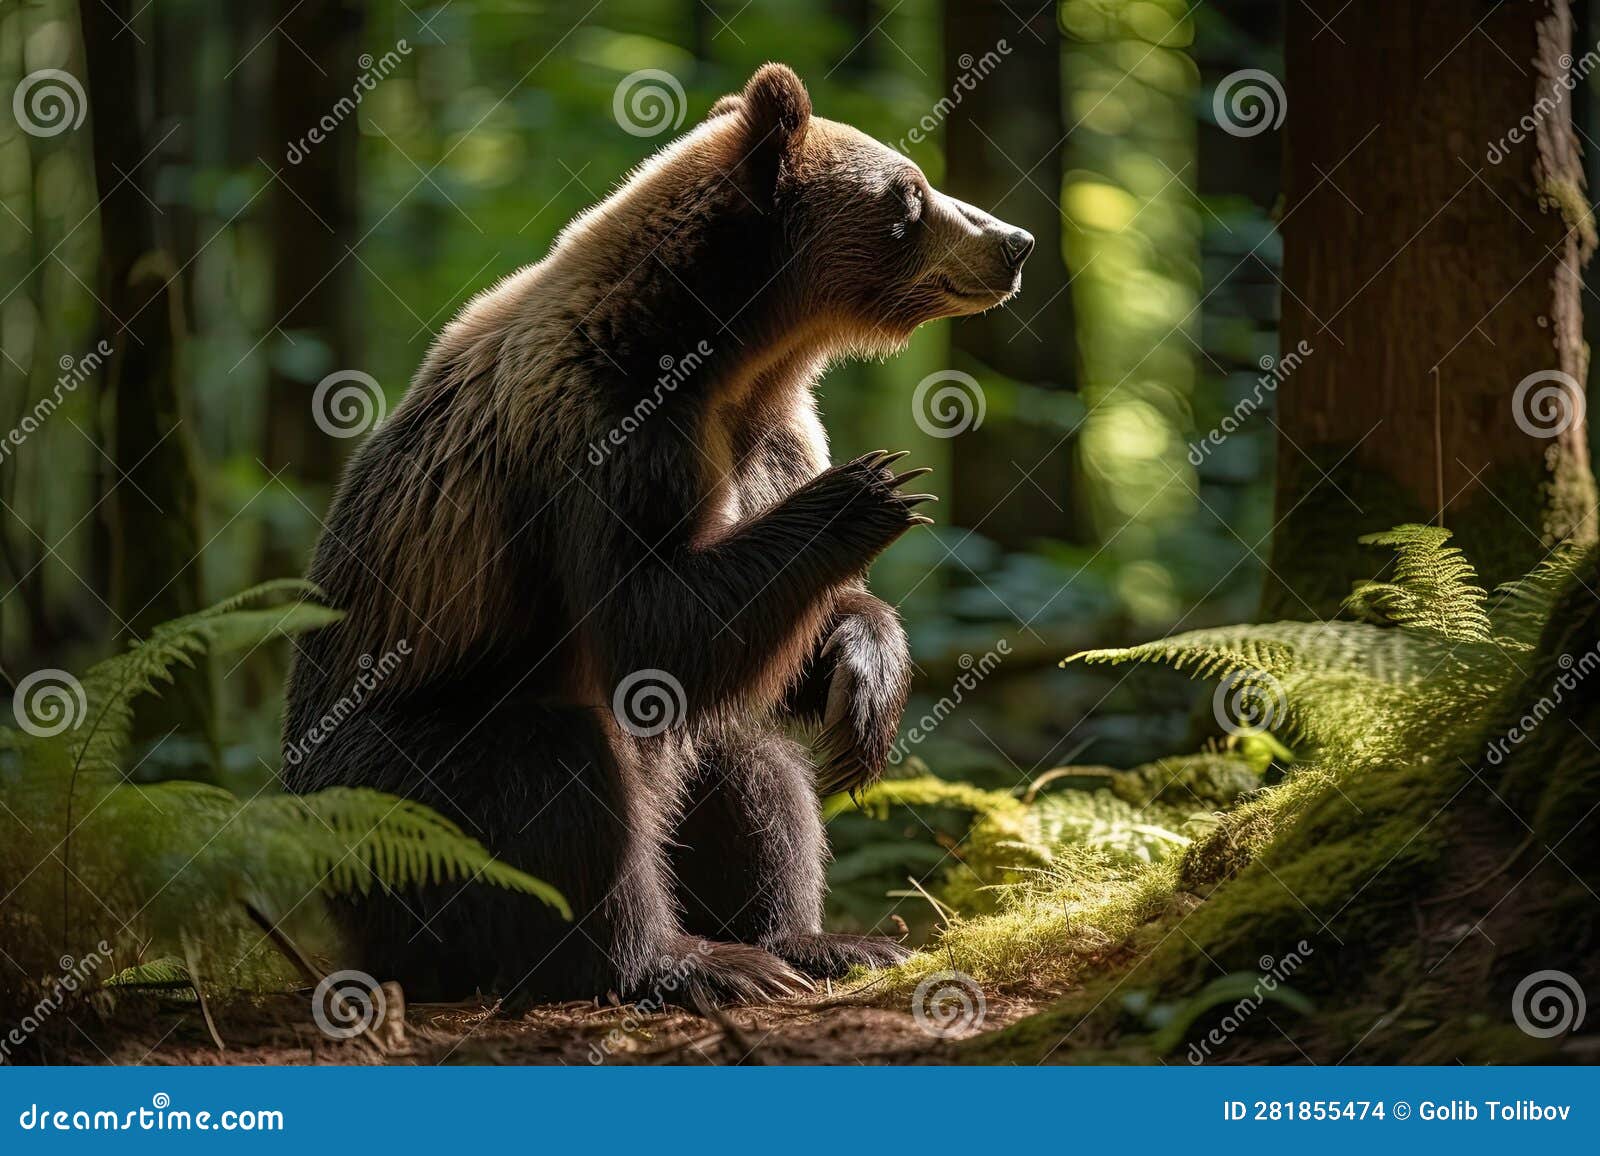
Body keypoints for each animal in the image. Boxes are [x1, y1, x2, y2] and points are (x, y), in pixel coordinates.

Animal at [282, 63, 1033, 1008]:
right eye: (910, 193)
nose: (1016, 240)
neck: (729, 358)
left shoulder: (771, 437)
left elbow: (772, 649)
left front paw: (866, 685)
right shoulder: (609, 434)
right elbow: (645, 623)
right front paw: (868, 491)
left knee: (747, 762)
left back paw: (810, 939)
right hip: (395, 780)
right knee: (561, 780)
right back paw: (681, 960)